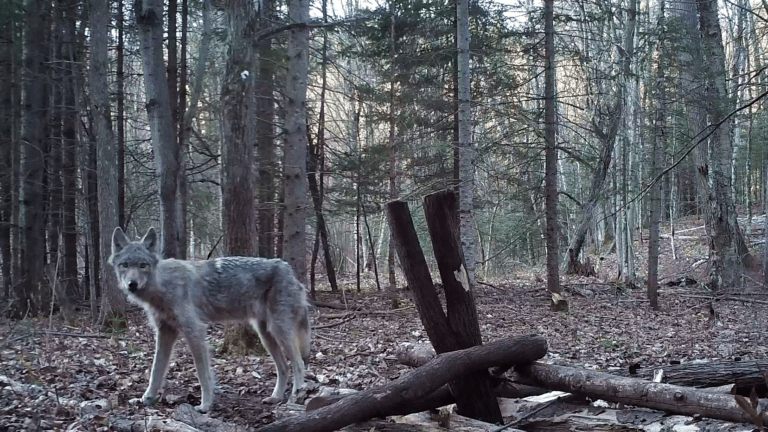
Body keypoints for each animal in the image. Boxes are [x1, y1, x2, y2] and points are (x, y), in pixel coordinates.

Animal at [108, 226, 311, 413]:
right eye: (125, 265)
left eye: (143, 265)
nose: (132, 284)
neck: (162, 286)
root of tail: (288, 269)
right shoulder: (165, 332)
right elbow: (156, 370)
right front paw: (147, 398)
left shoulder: (195, 331)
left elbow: (203, 374)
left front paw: (205, 405)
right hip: (265, 335)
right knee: (284, 367)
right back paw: (276, 397)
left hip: (279, 330)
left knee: (299, 364)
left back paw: (295, 397)